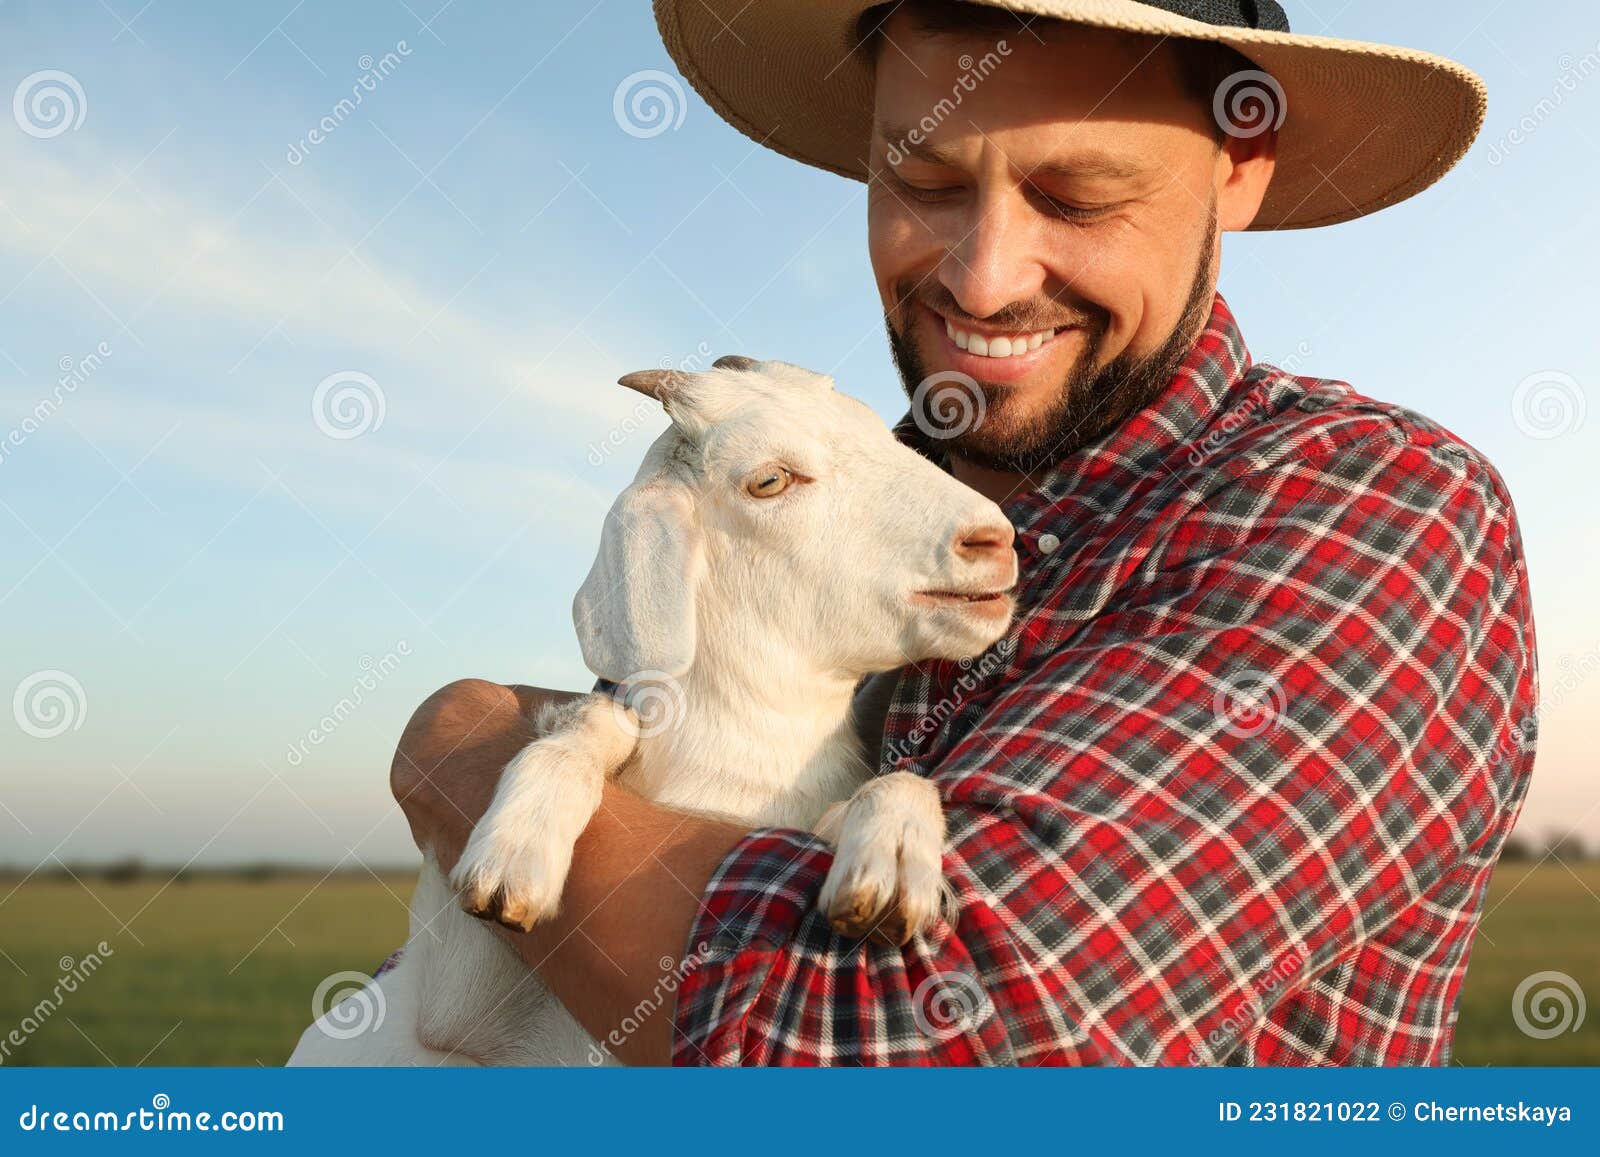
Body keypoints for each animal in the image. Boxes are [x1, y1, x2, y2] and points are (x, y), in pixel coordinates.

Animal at [287, 357, 1016, 1066]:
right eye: (769, 479)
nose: (993, 539)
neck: (744, 772)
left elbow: (896, 784)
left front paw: (891, 859)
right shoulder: (450, 1001)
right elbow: (601, 722)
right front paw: (517, 849)